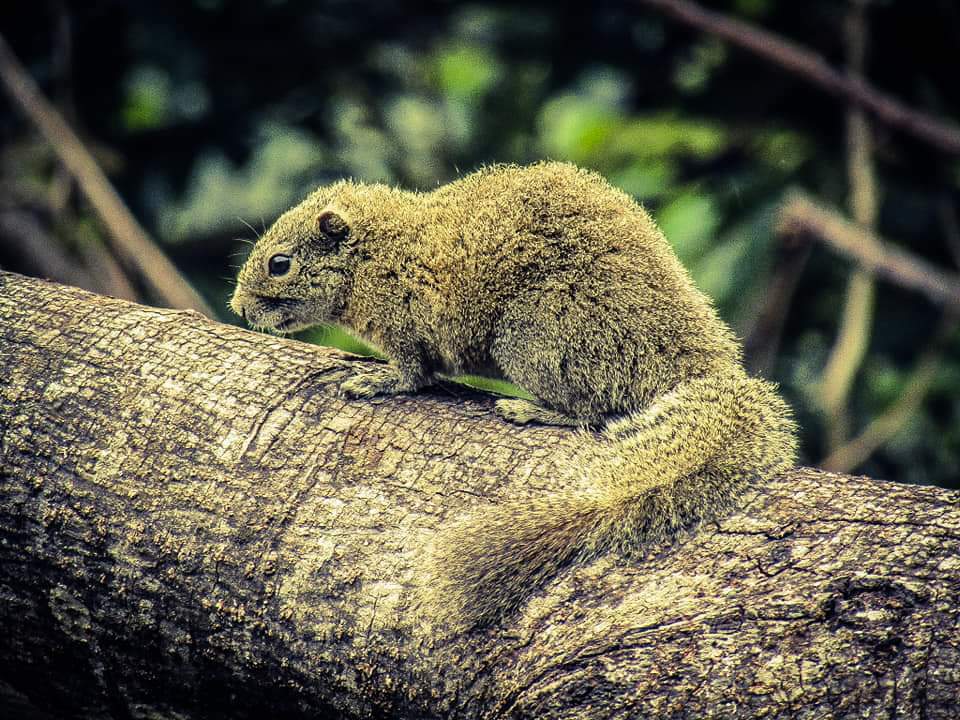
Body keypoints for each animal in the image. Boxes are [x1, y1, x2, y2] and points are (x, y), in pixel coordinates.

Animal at [230, 161, 797, 629]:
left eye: (279, 264)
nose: (238, 307)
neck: (377, 255)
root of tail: (698, 365)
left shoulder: (407, 326)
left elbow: (412, 375)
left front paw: (375, 381)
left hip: (535, 337)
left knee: (590, 410)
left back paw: (534, 410)